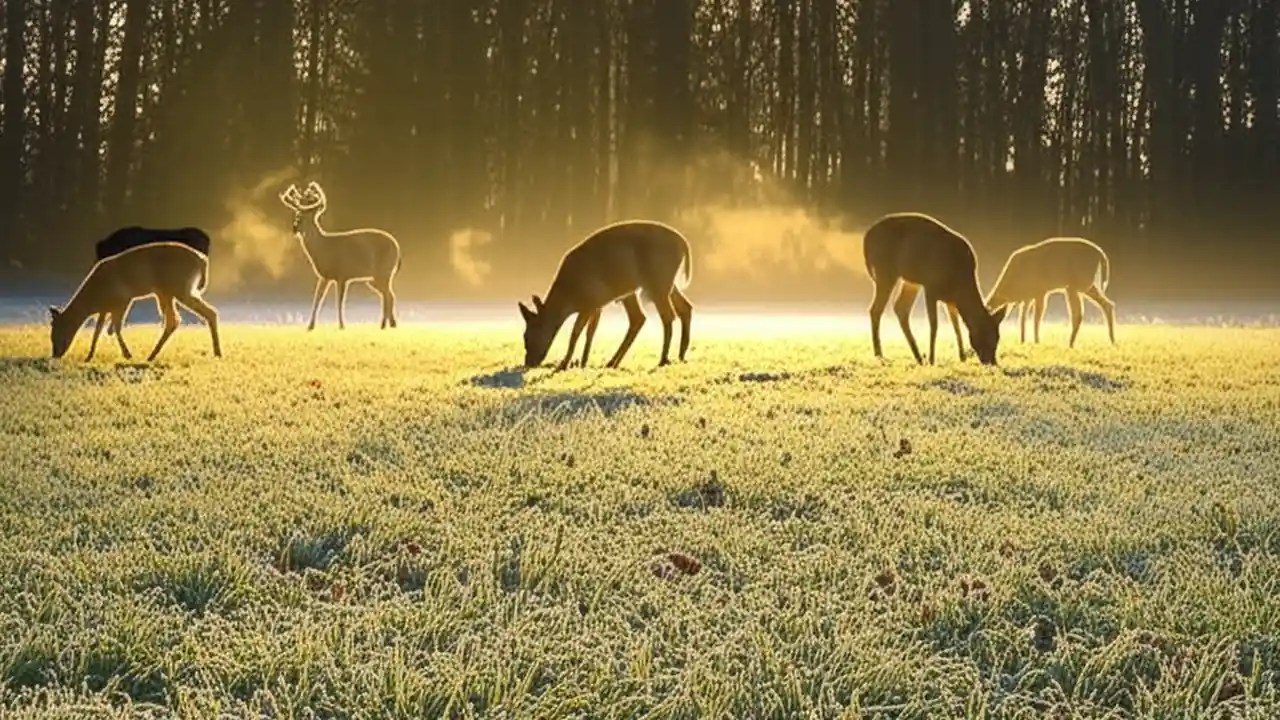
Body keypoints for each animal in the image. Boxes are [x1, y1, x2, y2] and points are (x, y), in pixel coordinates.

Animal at [49, 242, 221, 362]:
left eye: (57, 331)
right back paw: (152, 356)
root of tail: (203, 260)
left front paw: (127, 354)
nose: (55, 354)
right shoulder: (106, 307)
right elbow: (98, 330)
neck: (94, 299)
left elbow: (116, 328)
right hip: (166, 292)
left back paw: (217, 353)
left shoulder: (123, 299)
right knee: (174, 320)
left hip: (179, 287)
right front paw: (89, 356)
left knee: (208, 312)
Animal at [278, 181, 401, 331]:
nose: (294, 228)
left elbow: (339, 302)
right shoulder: (324, 276)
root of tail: (398, 247)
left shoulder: (342, 275)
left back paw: (386, 324)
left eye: (304, 217)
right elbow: (317, 299)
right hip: (375, 278)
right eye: (297, 215)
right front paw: (310, 326)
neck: (323, 248)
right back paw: (388, 324)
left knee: (389, 295)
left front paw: (342, 325)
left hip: (384, 272)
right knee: (389, 295)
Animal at [518, 220, 694, 371]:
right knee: (674, 310)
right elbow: (591, 332)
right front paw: (582, 362)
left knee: (667, 316)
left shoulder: (589, 302)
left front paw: (564, 364)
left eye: (527, 336)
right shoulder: (597, 303)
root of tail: (684, 244)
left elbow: (575, 332)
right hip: (653, 286)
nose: (529, 363)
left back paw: (663, 359)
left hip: (658, 281)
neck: (569, 297)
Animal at [863, 212, 1008, 366]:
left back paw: (918, 357)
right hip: (885, 270)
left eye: (997, 337)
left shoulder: (951, 300)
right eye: (983, 335)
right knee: (876, 309)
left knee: (900, 308)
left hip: (910, 281)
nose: (992, 362)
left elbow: (955, 324)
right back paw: (879, 354)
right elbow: (935, 324)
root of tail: (867, 236)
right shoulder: (931, 288)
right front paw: (932, 359)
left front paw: (962, 357)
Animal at [984, 237, 1116, 347]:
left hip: (1075, 285)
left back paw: (1070, 344)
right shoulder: (1028, 296)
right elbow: (1023, 317)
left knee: (1078, 314)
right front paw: (1023, 341)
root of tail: (1101, 255)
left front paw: (1036, 341)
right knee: (1107, 304)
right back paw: (1112, 340)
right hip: (1086, 285)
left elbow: (1036, 317)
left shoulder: (1040, 291)